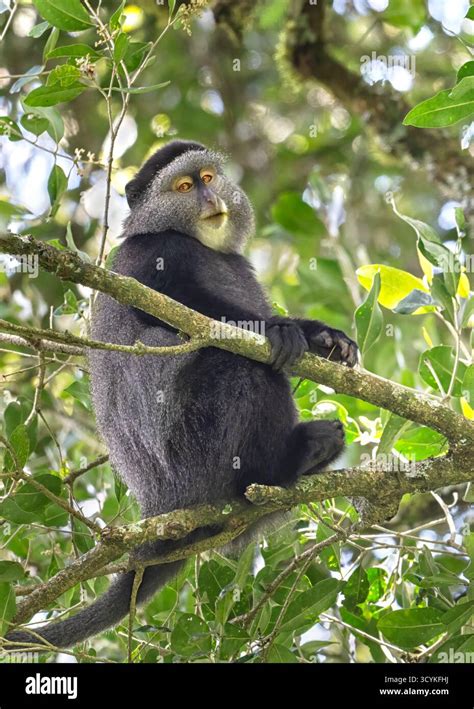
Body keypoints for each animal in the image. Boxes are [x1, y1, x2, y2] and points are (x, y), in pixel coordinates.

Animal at [6, 140, 358, 651]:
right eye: (185, 187)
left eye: (209, 178)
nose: (211, 200)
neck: (189, 238)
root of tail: (163, 506)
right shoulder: (149, 257)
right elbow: (180, 313)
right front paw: (279, 329)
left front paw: (325, 337)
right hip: (194, 452)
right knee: (241, 370)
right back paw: (284, 462)